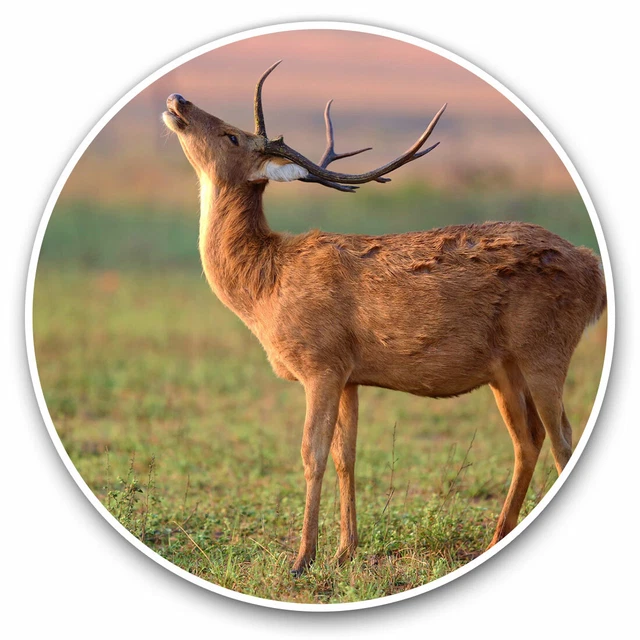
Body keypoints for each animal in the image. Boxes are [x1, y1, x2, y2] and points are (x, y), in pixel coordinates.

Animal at [162, 61, 607, 576]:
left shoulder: (321, 363)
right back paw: (495, 538)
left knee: (562, 439)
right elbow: (346, 457)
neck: (264, 288)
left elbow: (312, 454)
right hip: (504, 370)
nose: (178, 99)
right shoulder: (350, 374)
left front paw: (302, 558)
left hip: (546, 349)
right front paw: (344, 551)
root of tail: (594, 273)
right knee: (528, 439)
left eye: (232, 135)